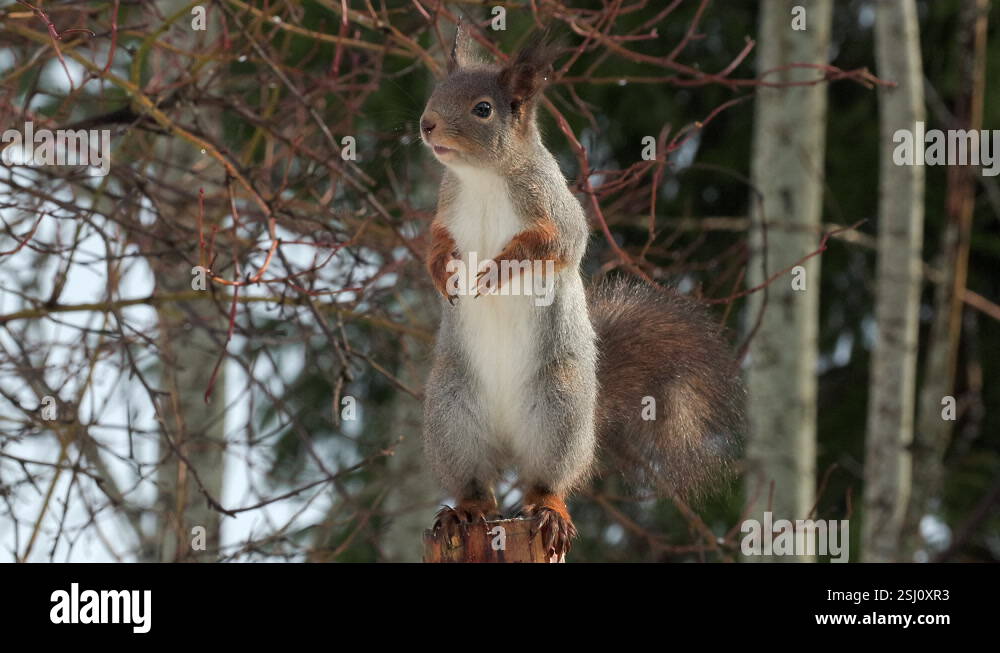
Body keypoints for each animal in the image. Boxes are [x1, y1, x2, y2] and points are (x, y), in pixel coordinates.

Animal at [420, 26, 746, 559]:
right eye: (436, 92)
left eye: (483, 109)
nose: (427, 125)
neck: (482, 179)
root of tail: (510, 441)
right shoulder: (444, 209)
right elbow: (435, 243)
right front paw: (443, 273)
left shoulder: (555, 209)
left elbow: (556, 244)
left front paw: (497, 271)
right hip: (452, 416)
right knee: (477, 486)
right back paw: (462, 513)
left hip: (561, 410)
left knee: (545, 482)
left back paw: (550, 511)